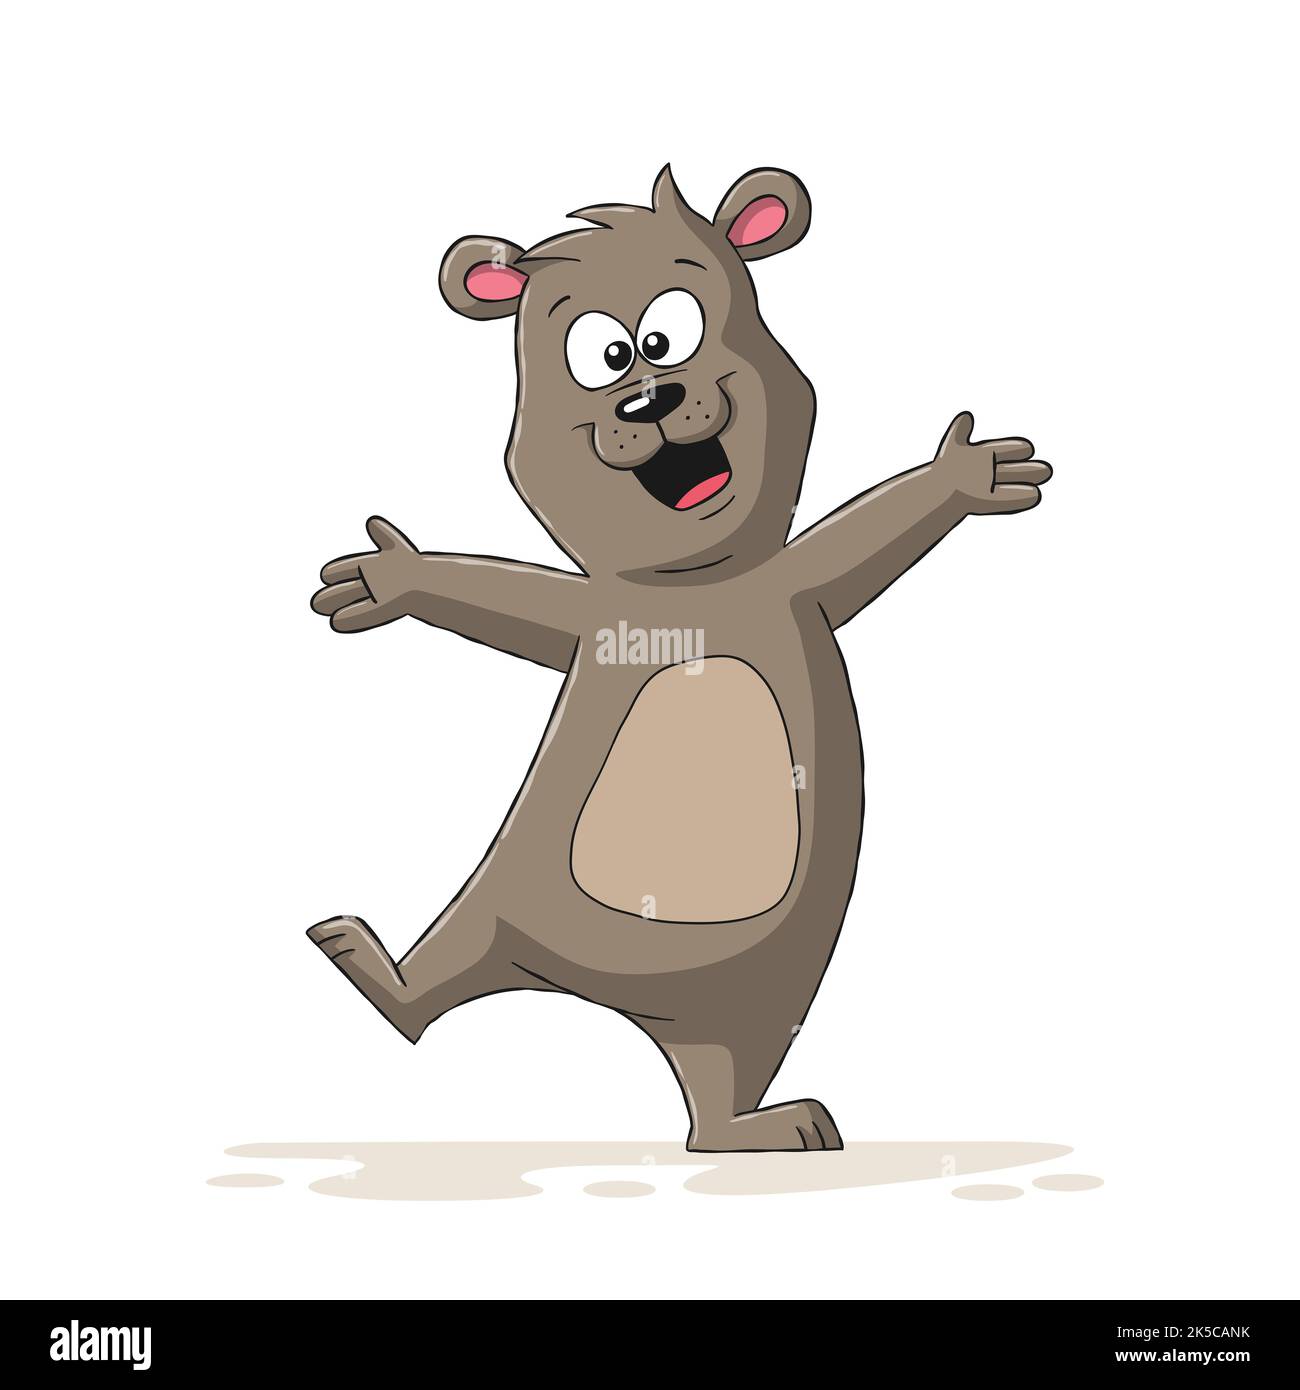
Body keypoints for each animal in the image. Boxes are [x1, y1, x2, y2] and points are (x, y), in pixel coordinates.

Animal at [308, 165, 1052, 1152]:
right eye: (607, 354)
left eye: (667, 335)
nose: (647, 396)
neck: (691, 589)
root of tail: (598, 995)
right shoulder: (590, 614)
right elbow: (503, 600)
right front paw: (390, 575)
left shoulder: (795, 583)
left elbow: (873, 532)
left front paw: (966, 473)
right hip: (500, 901)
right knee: (445, 972)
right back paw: (376, 970)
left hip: (748, 1000)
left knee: (712, 1100)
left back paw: (766, 1127)